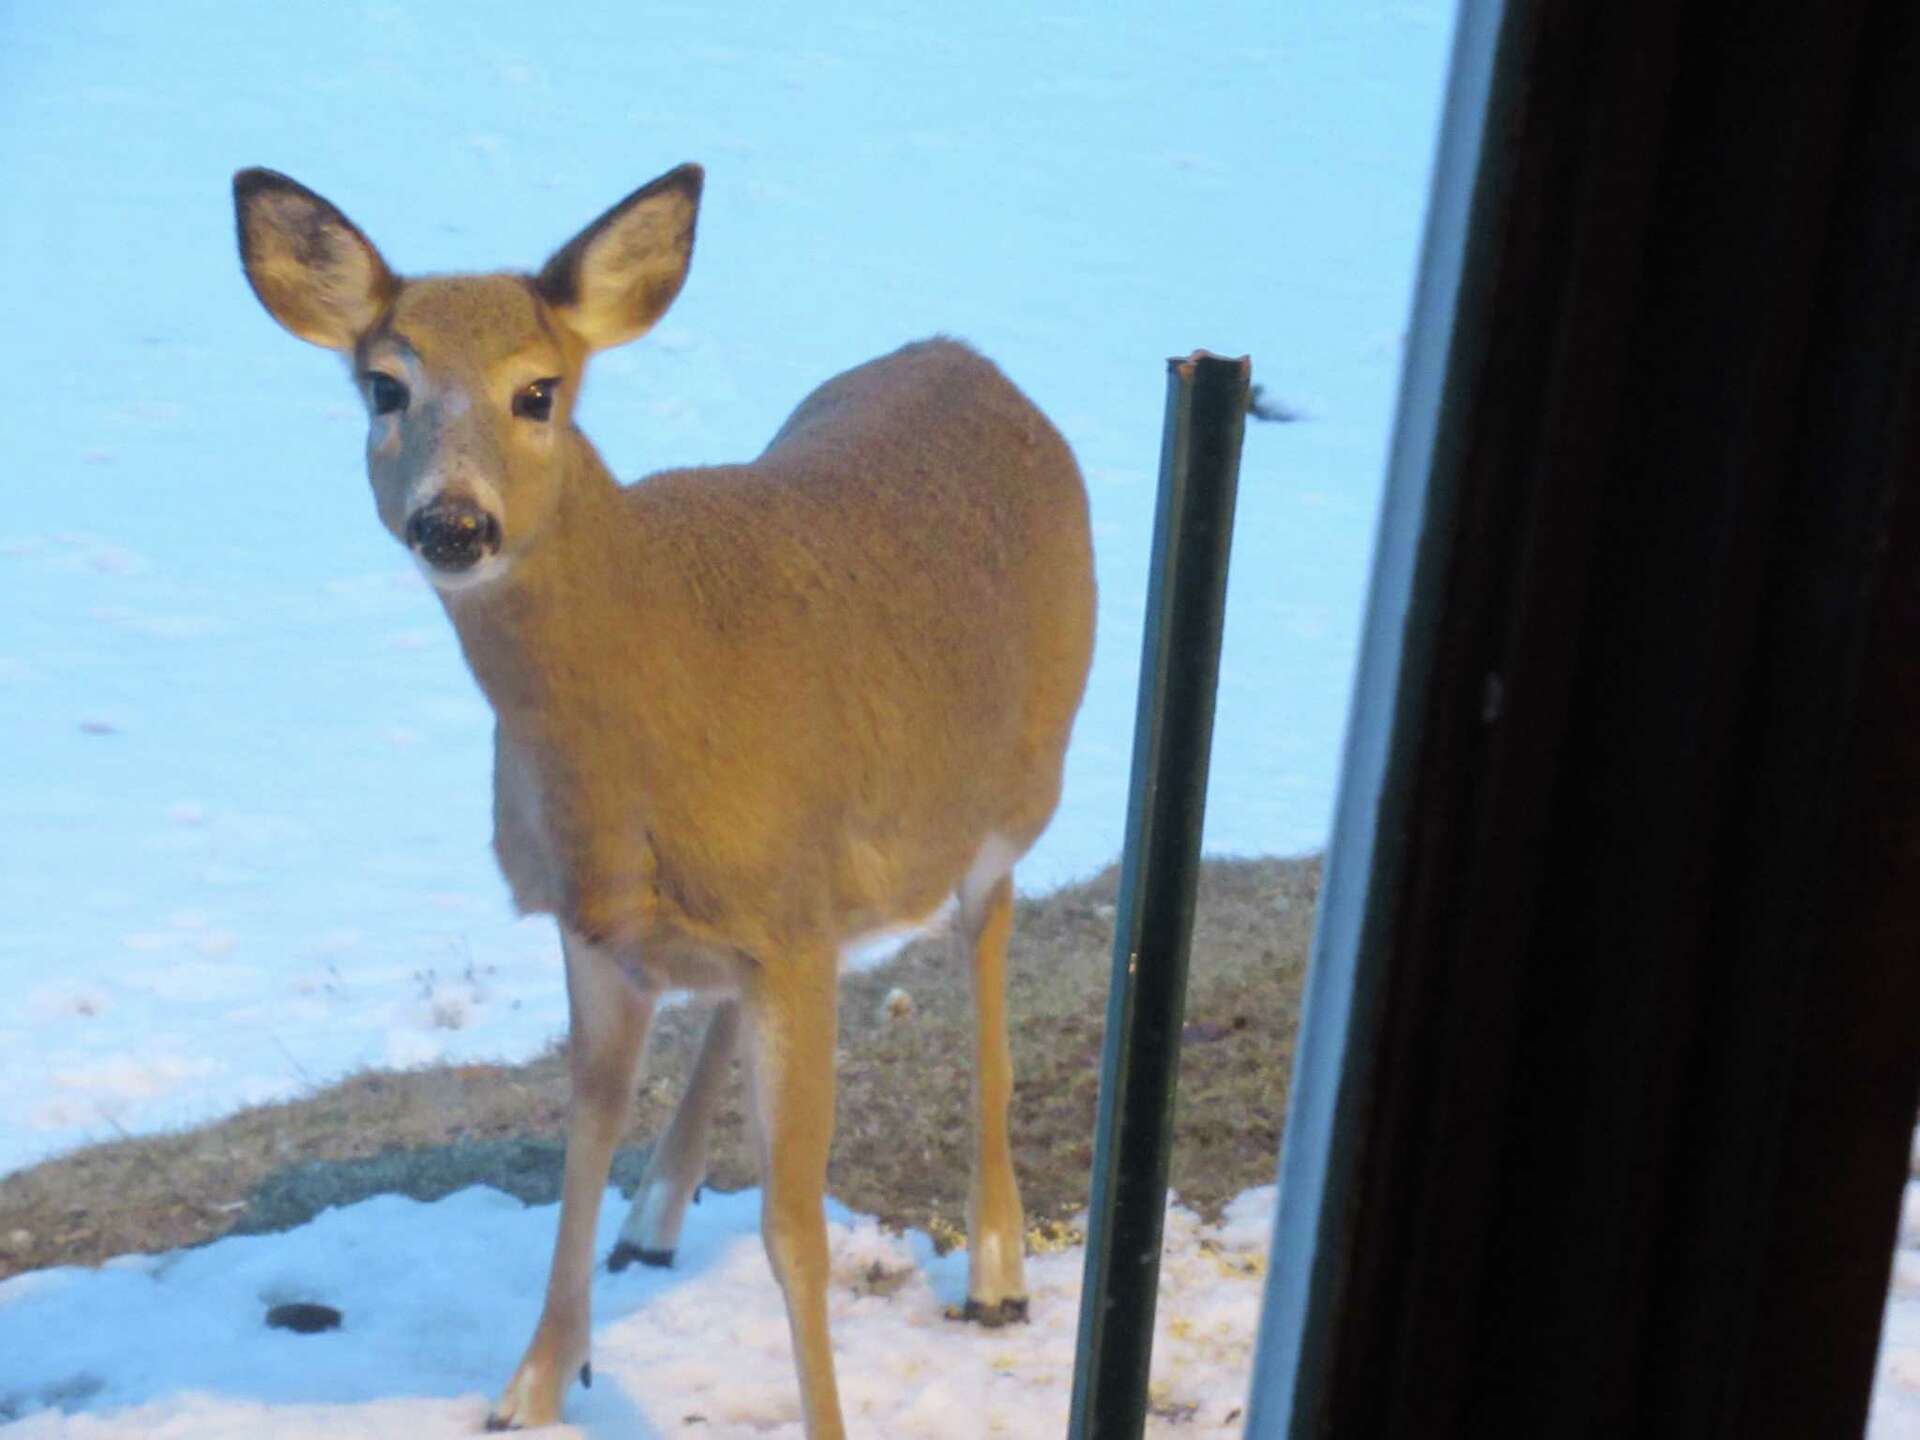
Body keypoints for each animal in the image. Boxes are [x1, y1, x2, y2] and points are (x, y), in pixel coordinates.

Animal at [231, 162, 1096, 1435]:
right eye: (385, 386)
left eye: (538, 391)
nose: (454, 522)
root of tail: (972, 361)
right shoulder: (600, 924)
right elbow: (583, 1139)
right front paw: (532, 1385)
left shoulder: (787, 928)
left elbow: (794, 1229)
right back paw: (656, 1216)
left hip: (1023, 774)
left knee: (985, 935)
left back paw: (996, 1271)